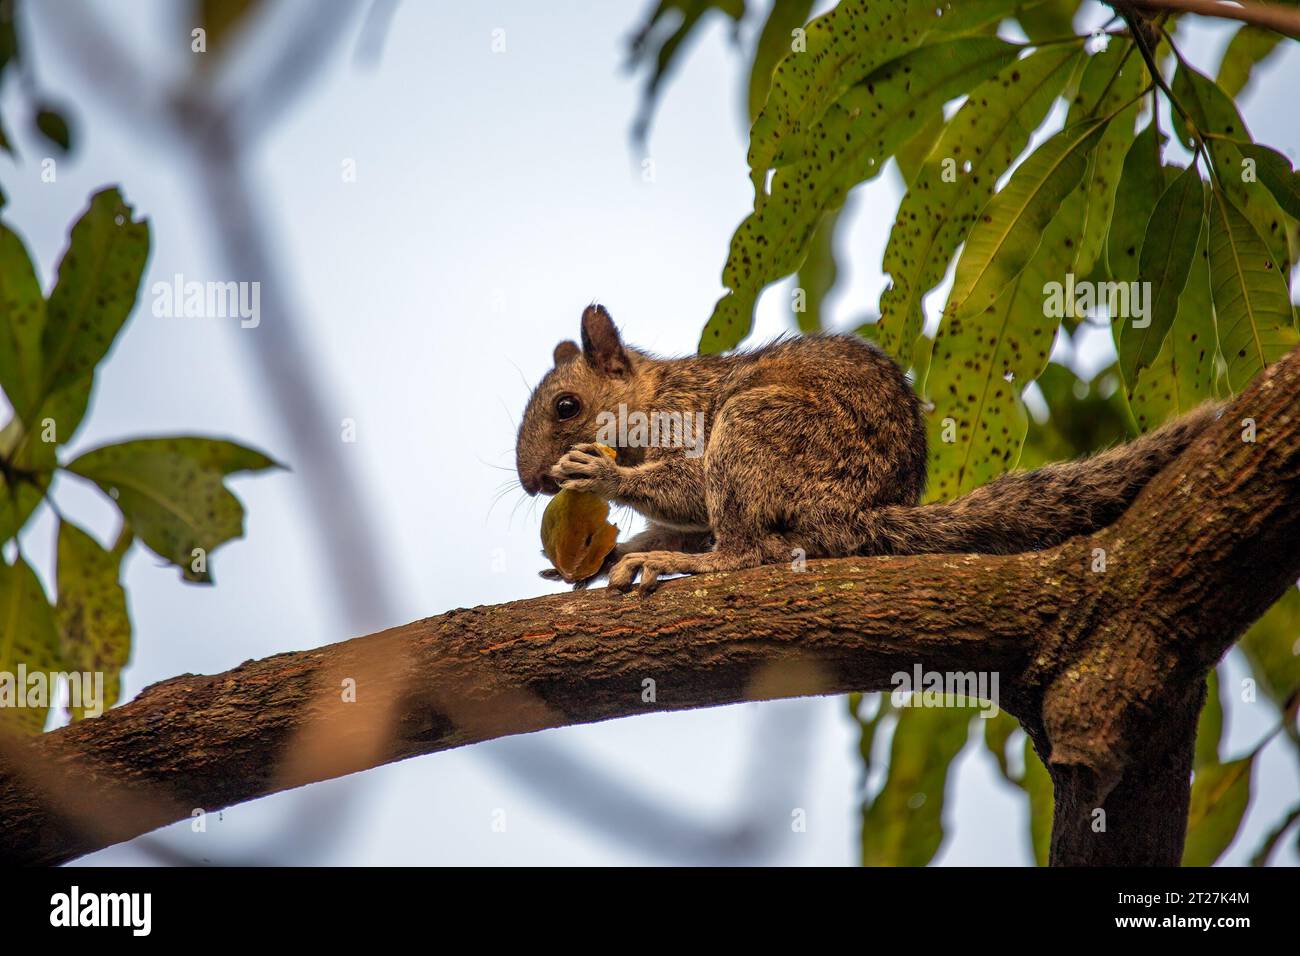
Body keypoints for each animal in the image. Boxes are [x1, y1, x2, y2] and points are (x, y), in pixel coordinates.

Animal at [516, 304, 1220, 593]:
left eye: (567, 406)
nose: (530, 482)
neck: (652, 394)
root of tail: (859, 513)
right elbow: (682, 523)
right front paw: (610, 554)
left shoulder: (686, 424)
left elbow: (685, 491)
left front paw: (601, 480)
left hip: (763, 431)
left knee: (749, 549)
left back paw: (693, 563)